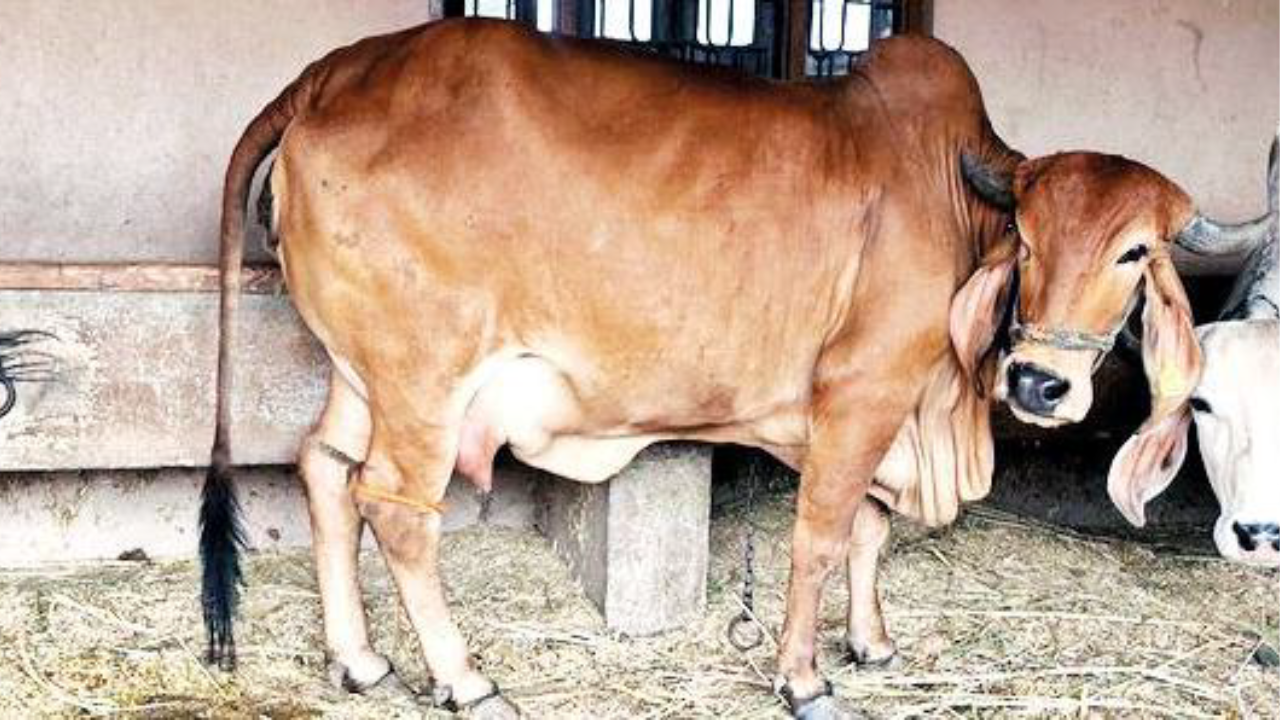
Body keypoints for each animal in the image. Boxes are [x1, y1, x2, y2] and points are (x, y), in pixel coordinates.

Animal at [200, 20, 1226, 717]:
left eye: (1137, 251)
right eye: (1029, 237)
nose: (1038, 385)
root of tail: (328, 76)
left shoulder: (889, 415)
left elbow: (869, 531)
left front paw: (871, 642)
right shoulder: (863, 393)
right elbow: (824, 534)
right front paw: (803, 678)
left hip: (361, 372)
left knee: (325, 470)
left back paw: (360, 660)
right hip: (425, 379)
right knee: (395, 510)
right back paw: (463, 678)